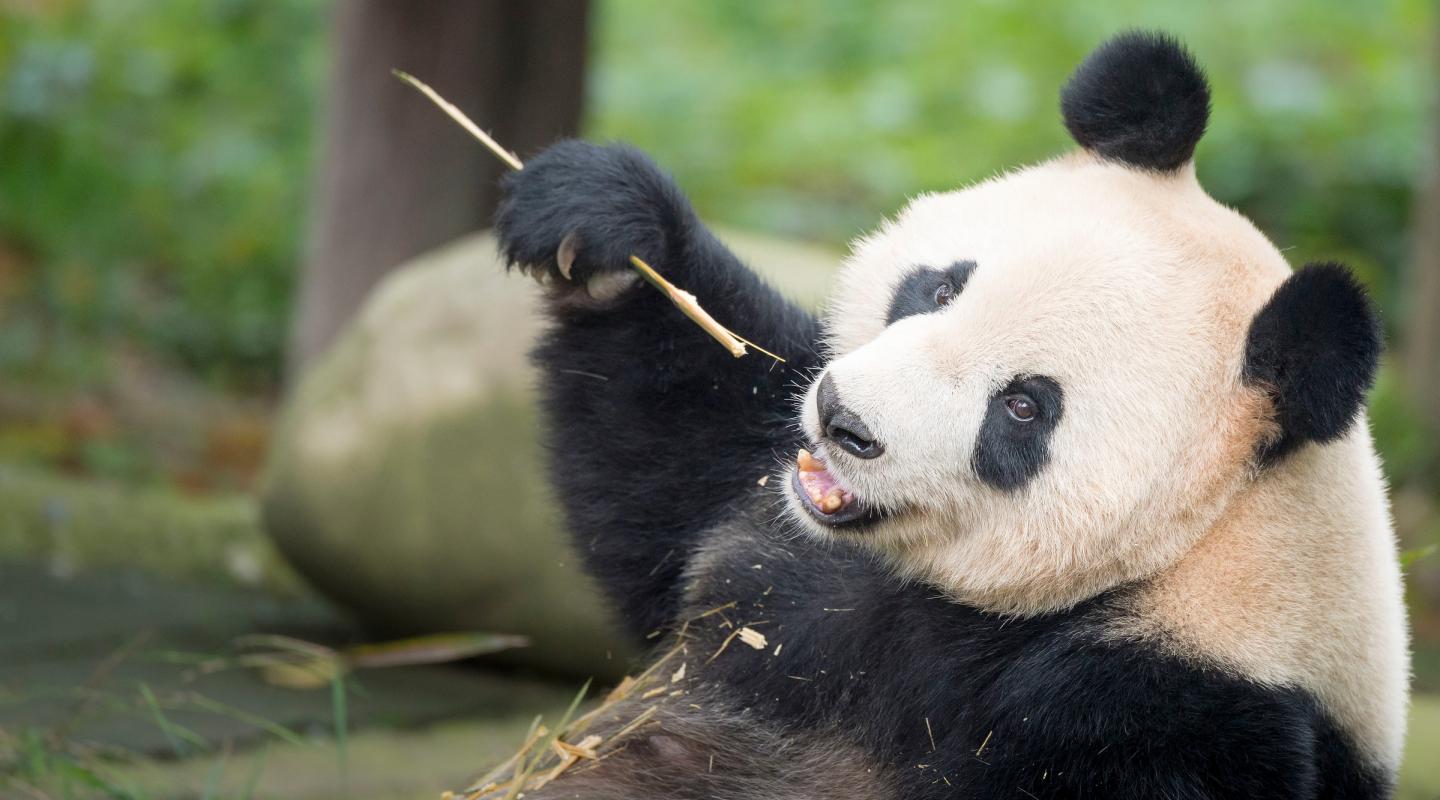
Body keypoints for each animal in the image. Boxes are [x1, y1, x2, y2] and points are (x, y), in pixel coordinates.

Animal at [491, 31, 1408, 799]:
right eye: (940, 288)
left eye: (1024, 406)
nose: (842, 420)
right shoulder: (766, 526)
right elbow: (670, 463)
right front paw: (601, 220)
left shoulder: (1173, 708)